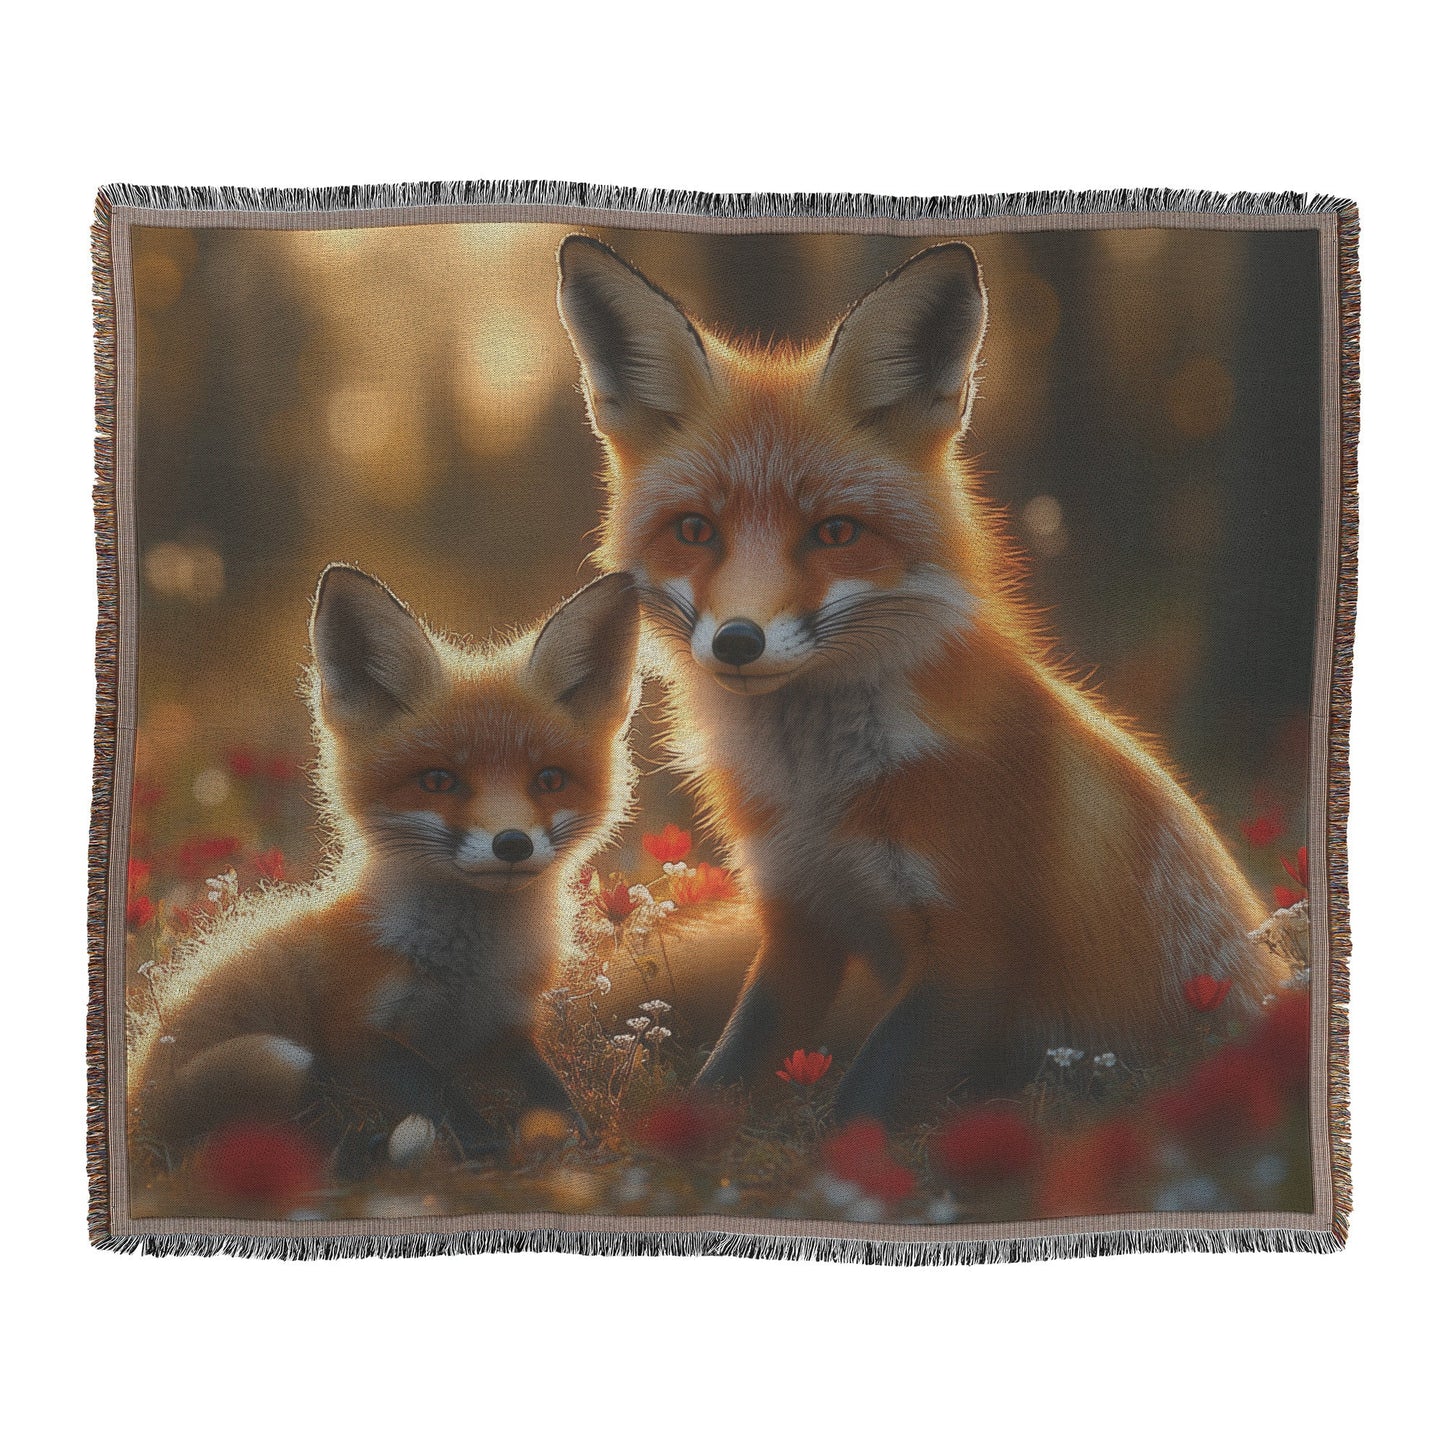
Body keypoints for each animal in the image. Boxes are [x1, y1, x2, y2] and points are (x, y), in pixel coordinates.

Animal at [130, 564, 640, 1171]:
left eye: (550, 779)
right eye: (438, 780)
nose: (512, 844)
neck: (468, 969)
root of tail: (134, 1102)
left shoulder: (507, 1027)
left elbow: (551, 1098)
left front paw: (580, 1143)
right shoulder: (357, 1030)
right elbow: (443, 1095)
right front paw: (485, 1147)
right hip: (275, 1059)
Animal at [555, 233, 1292, 1123]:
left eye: (836, 532)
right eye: (694, 530)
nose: (736, 642)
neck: (818, 790)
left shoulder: (971, 946)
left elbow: (859, 1107)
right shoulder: (795, 919)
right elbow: (733, 1064)